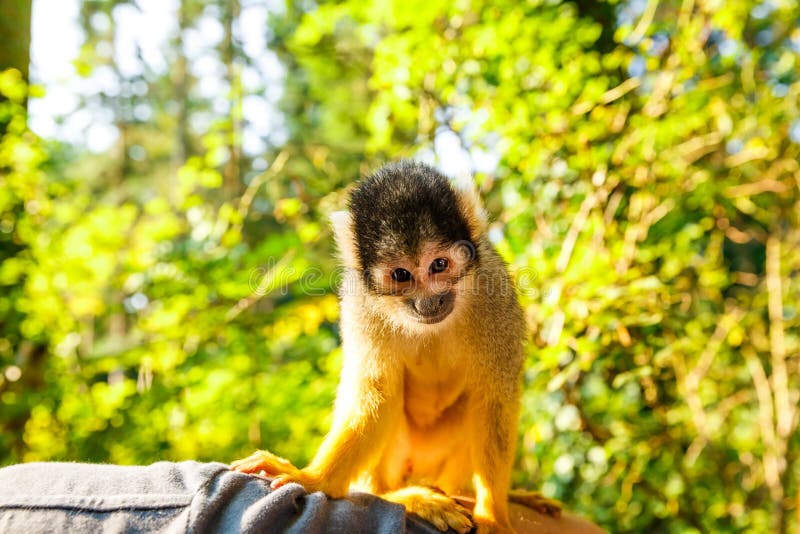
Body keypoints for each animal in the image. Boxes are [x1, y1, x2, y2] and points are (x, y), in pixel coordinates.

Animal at [232, 160, 560, 533]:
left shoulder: (495, 292)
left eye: (439, 265)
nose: (429, 303)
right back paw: (400, 495)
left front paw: (493, 515)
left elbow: (493, 399)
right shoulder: (362, 303)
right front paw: (312, 478)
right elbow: (378, 394)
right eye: (401, 275)